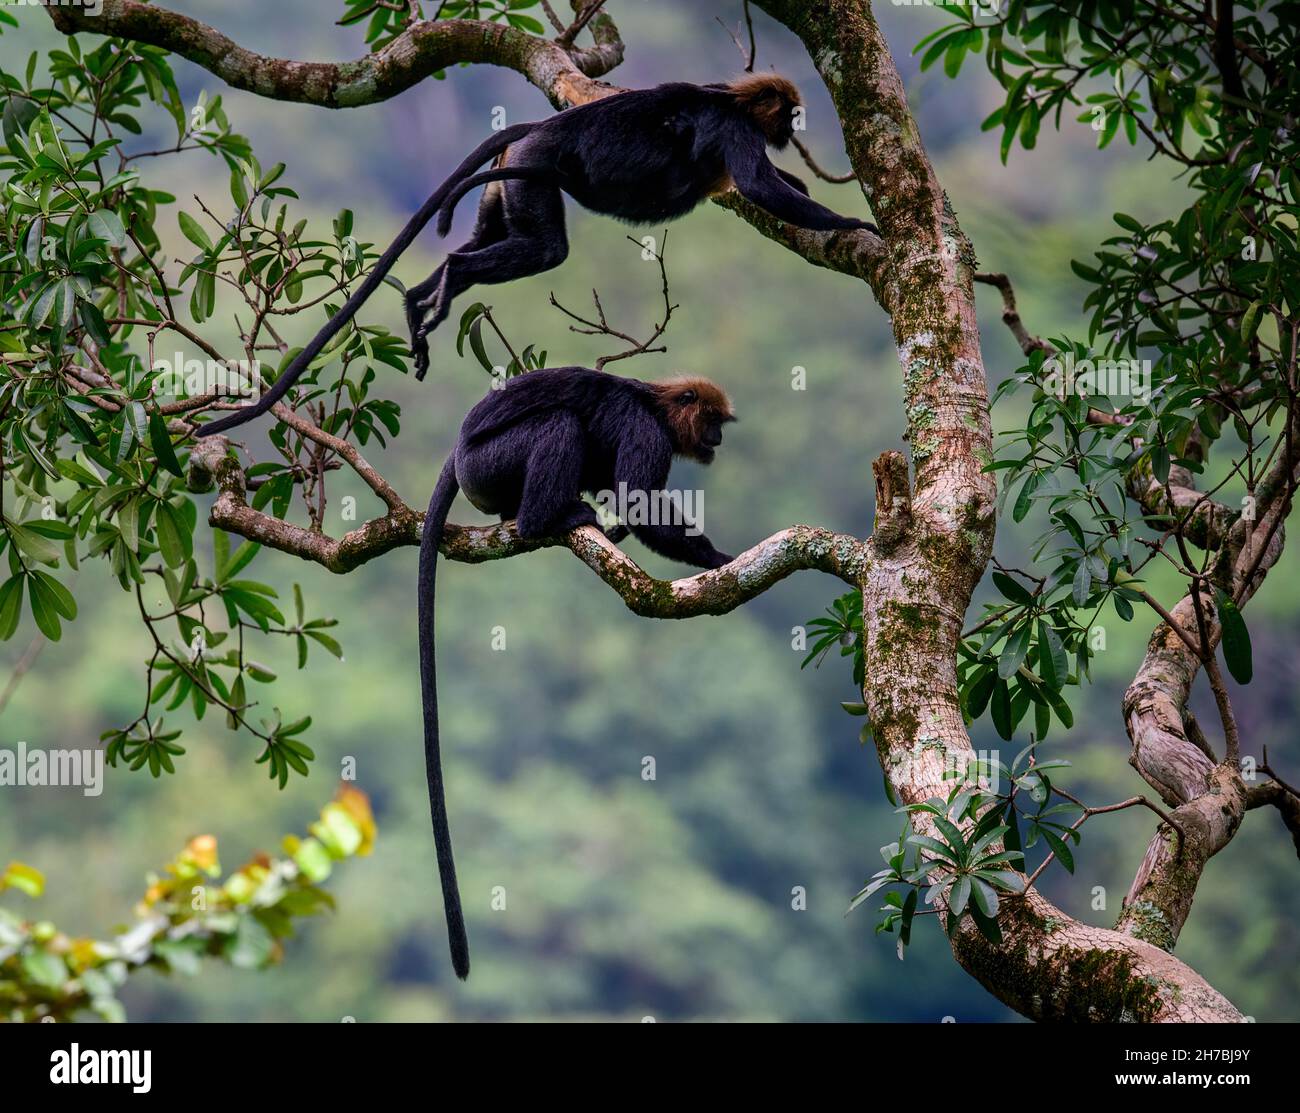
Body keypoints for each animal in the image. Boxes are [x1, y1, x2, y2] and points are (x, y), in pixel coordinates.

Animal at [196, 75, 873, 438]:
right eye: (788, 114)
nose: (795, 127)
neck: (731, 99)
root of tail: (532, 131)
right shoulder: (737, 132)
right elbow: (758, 186)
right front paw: (855, 222)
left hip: (506, 183)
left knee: (477, 244)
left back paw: (419, 301)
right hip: (533, 171)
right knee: (541, 250)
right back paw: (448, 286)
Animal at [419, 366, 736, 977]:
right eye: (711, 420)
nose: (717, 440)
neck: (657, 407)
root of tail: (457, 452)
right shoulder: (647, 435)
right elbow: (638, 501)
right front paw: (718, 560)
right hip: (489, 467)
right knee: (560, 426)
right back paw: (545, 517)